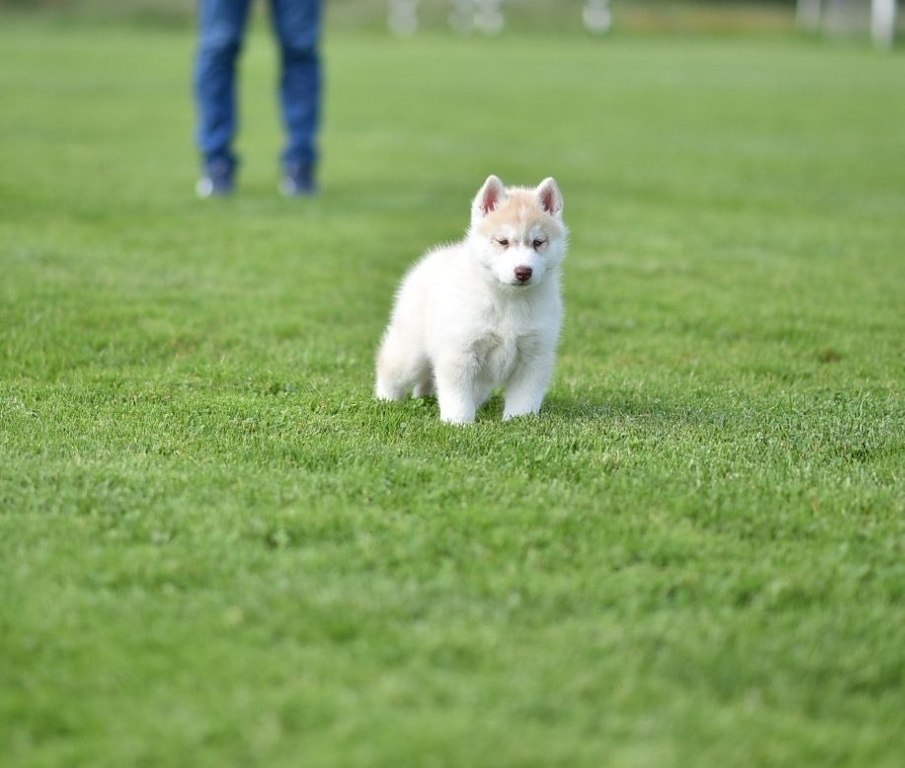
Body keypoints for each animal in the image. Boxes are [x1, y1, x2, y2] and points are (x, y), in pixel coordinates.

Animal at [374, 176, 564, 426]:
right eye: (503, 241)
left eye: (538, 242)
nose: (523, 271)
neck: (507, 301)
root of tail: (430, 259)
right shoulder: (459, 352)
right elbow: (457, 395)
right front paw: (458, 423)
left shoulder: (535, 356)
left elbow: (525, 397)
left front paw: (519, 421)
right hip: (411, 354)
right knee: (389, 368)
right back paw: (385, 400)